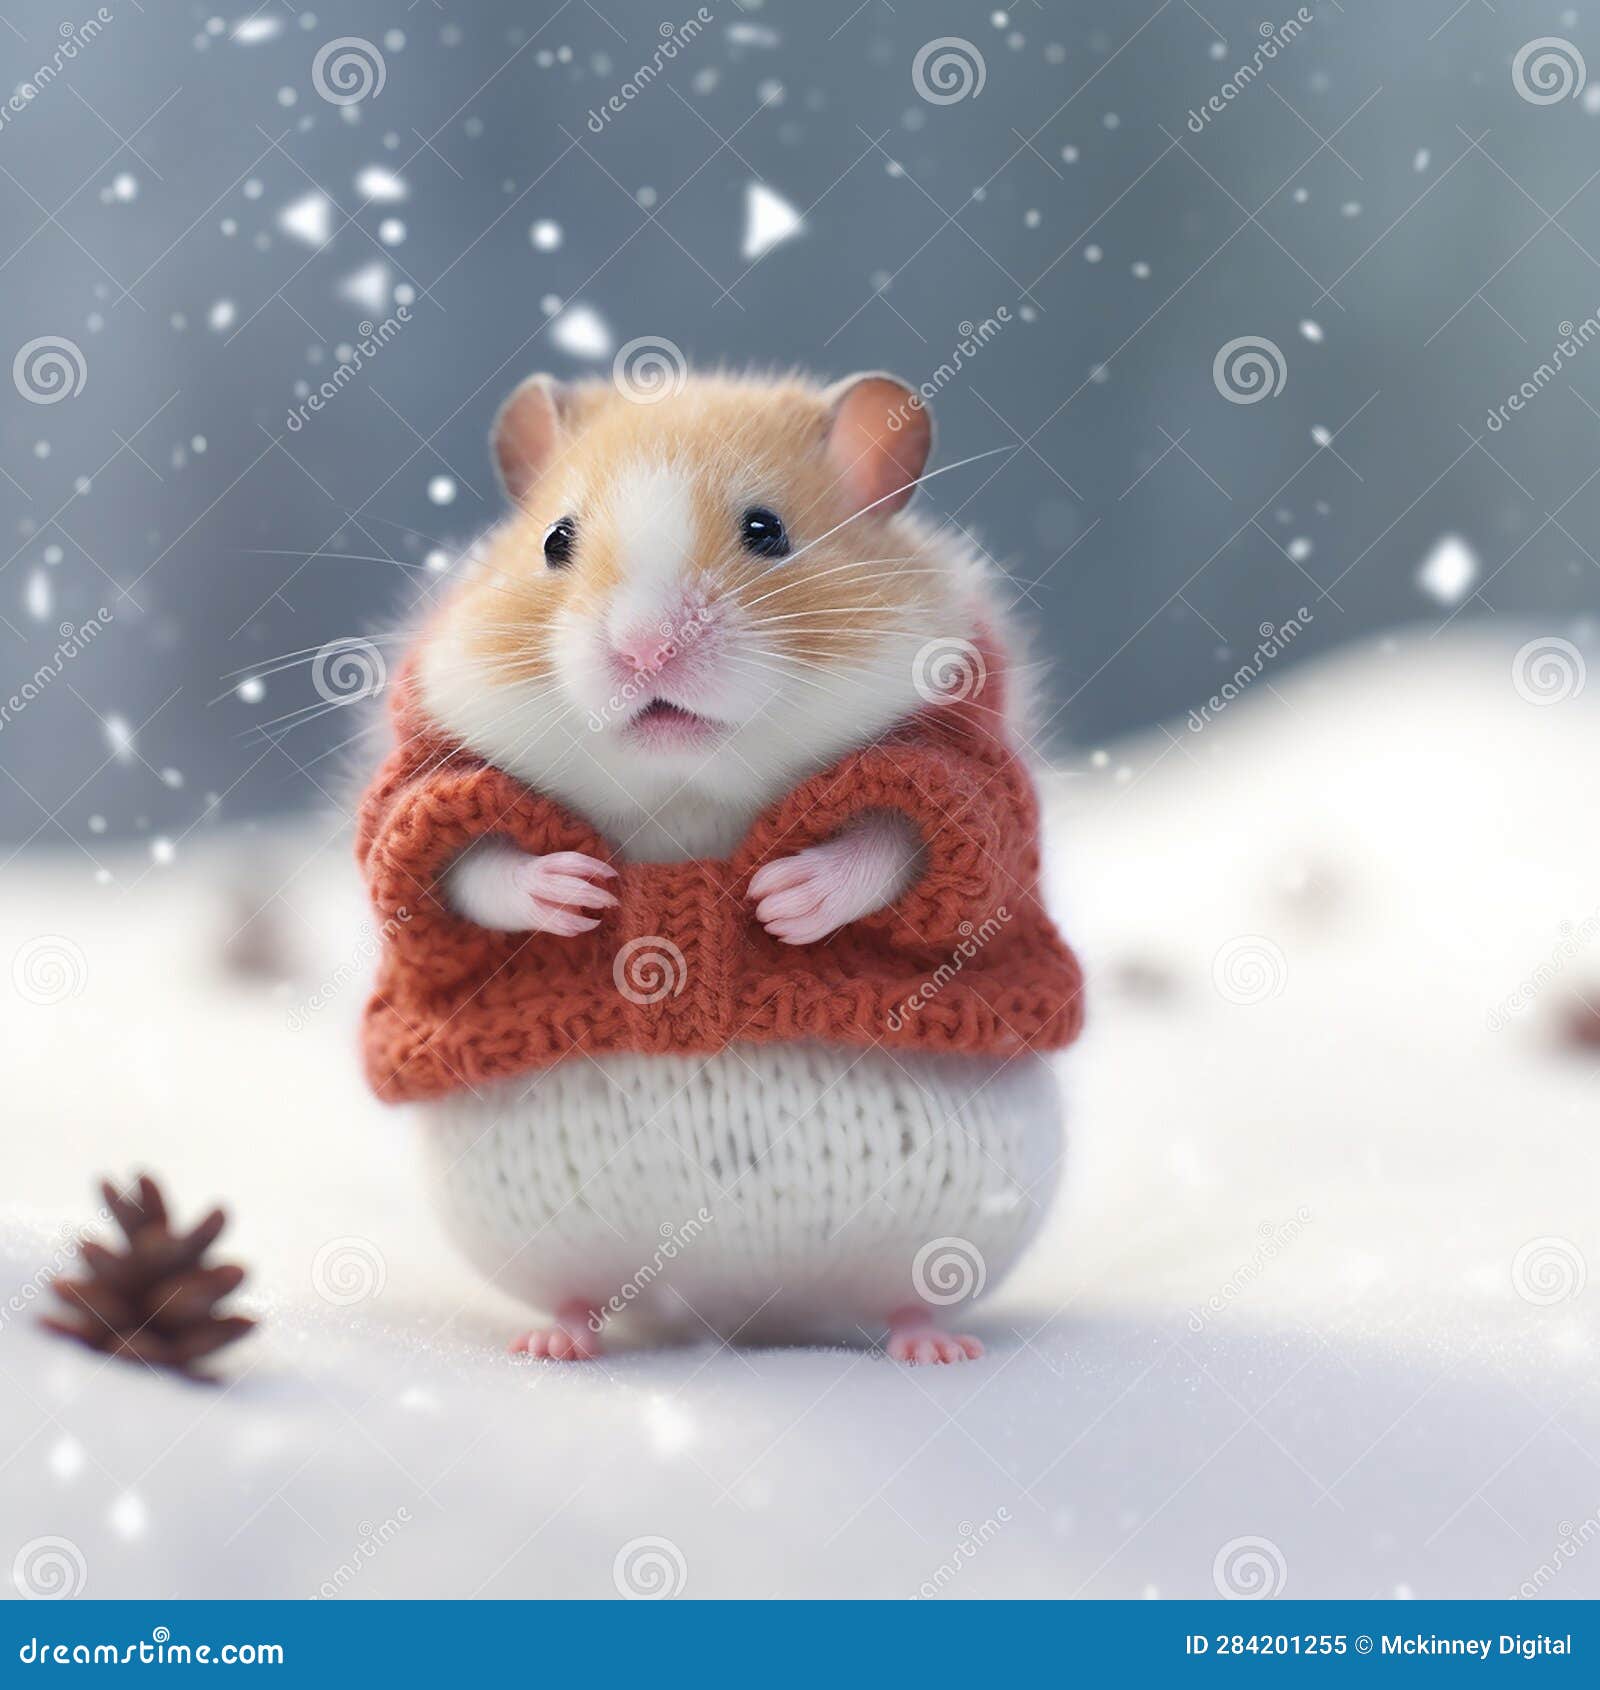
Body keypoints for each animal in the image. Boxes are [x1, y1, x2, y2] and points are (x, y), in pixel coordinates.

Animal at [408, 368, 1065, 1364]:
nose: (643, 649)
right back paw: (555, 1346)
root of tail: (742, 1314)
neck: (685, 789)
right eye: (556, 541)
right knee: (576, 1297)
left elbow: (899, 849)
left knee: (912, 1299)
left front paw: (779, 898)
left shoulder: (962, 781)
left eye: (768, 531)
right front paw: (577, 890)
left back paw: (934, 1349)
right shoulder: (432, 789)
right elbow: (470, 867)